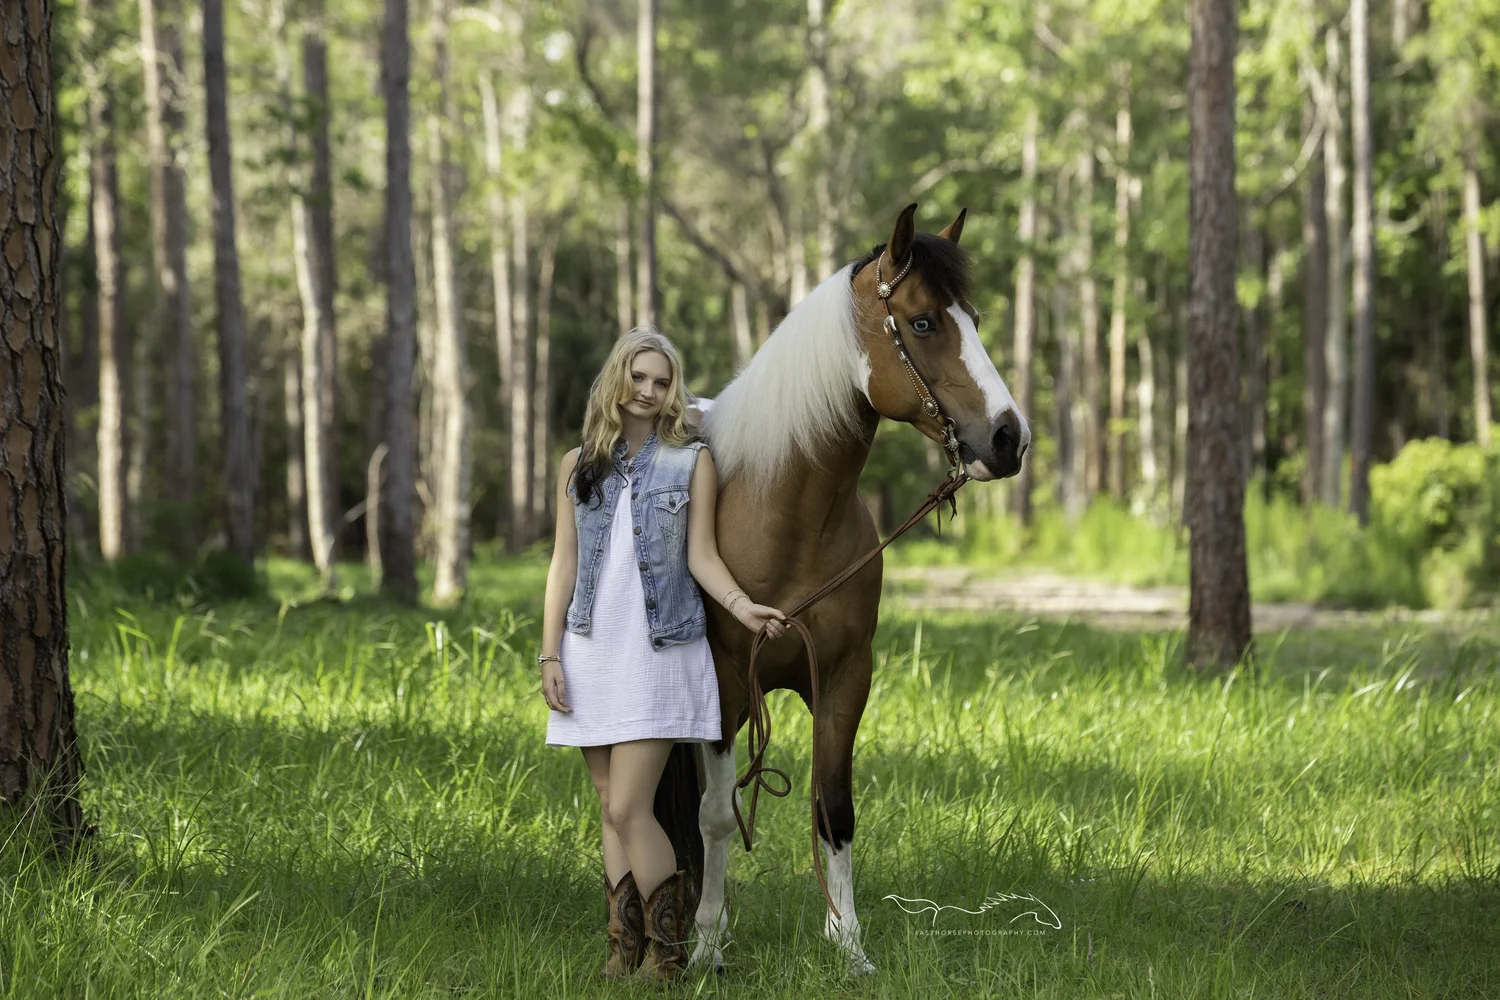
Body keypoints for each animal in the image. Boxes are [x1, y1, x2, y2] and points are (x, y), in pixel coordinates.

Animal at [655, 202, 1030, 975]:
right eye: (924, 321)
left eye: (976, 318)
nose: (1010, 439)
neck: (785, 517)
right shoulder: (726, 684)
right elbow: (716, 814)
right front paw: (707, 944)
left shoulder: (845, 678)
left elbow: (834, 809)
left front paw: (848, 944)